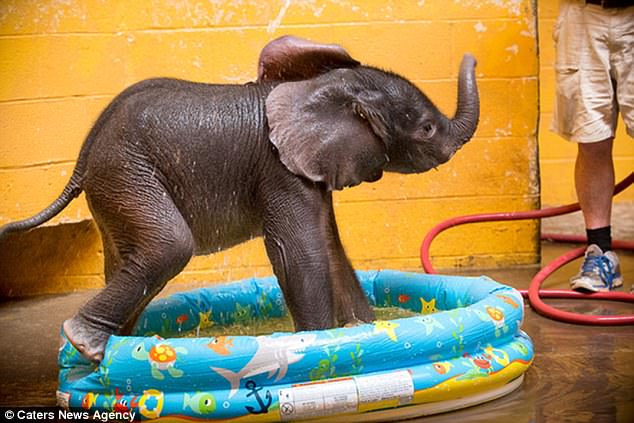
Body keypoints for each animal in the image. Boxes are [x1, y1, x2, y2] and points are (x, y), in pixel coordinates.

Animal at [0, 35, 474, 364]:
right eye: (427, 129)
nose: (471, 55)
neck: (321, 89)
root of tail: (84, 154)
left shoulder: (308, 167)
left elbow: (330, 248)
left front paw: (363, 328)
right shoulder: (278, 169)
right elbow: (300, 253)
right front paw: (323, 342)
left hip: (117, 185)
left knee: (125, 259)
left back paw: (117, 343)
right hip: (128, 173)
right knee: (170, 247)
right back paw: (86, 343)